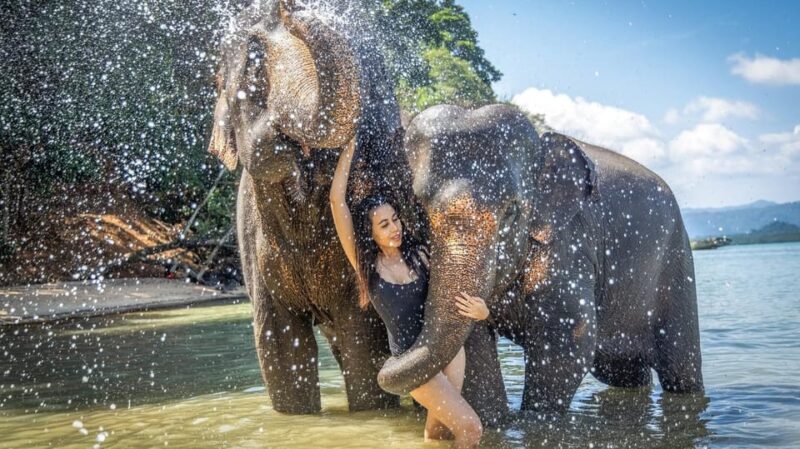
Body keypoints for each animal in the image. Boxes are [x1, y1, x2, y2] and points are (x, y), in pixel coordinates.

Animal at [376, 104, 704, 424]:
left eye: (512, 211)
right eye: (418, 206)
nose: (390, 356)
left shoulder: (567, 243)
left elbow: (568, 336)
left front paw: (535, 422)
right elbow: (472, 344)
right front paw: (495, 422)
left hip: (676, 262)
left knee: (680, 368)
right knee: (623, 372)